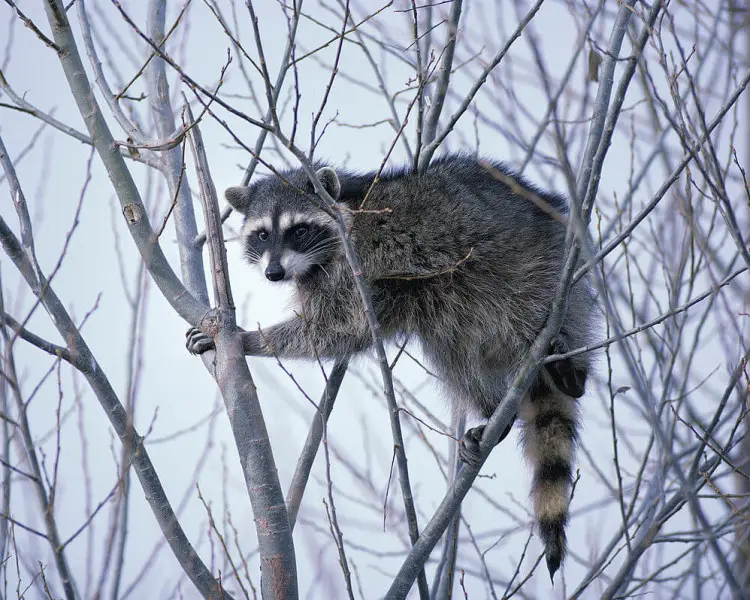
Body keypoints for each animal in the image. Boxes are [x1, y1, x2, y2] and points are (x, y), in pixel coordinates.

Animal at [186, 154, 595, 579]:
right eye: (263, 234)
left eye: (299, 230)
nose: (274, 273)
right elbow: (343, 333)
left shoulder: (358, 265)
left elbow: (337, 327)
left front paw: (250, 339)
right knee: (452, 350)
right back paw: (493, 409)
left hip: (539, 269)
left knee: (529, 310)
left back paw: (570, 367)